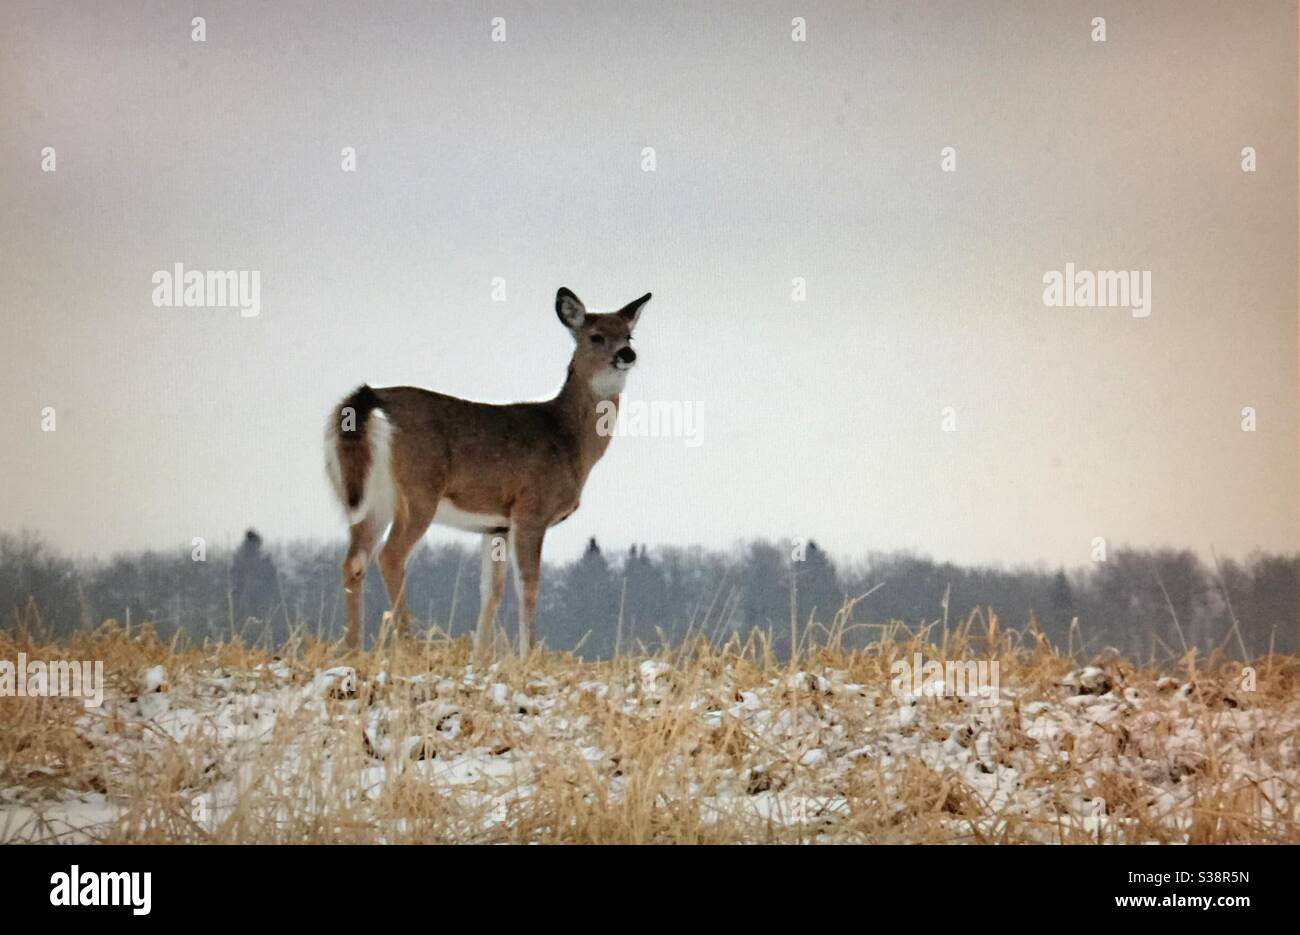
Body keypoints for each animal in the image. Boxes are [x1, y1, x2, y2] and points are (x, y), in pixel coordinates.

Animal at [325, 287, 651, 655]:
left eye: (629, 334)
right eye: (596, 336)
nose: (627, 354)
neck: (566, 439)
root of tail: (371, 400)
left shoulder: (495, 525)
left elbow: (490, 591)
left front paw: (479, 656)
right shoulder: (531, 508)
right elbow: (528, 584)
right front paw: (528, 654)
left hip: (366, 498)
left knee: (354, 560)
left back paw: (353, 650)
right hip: (419, 490)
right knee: (390, 557)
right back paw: (409, 647)